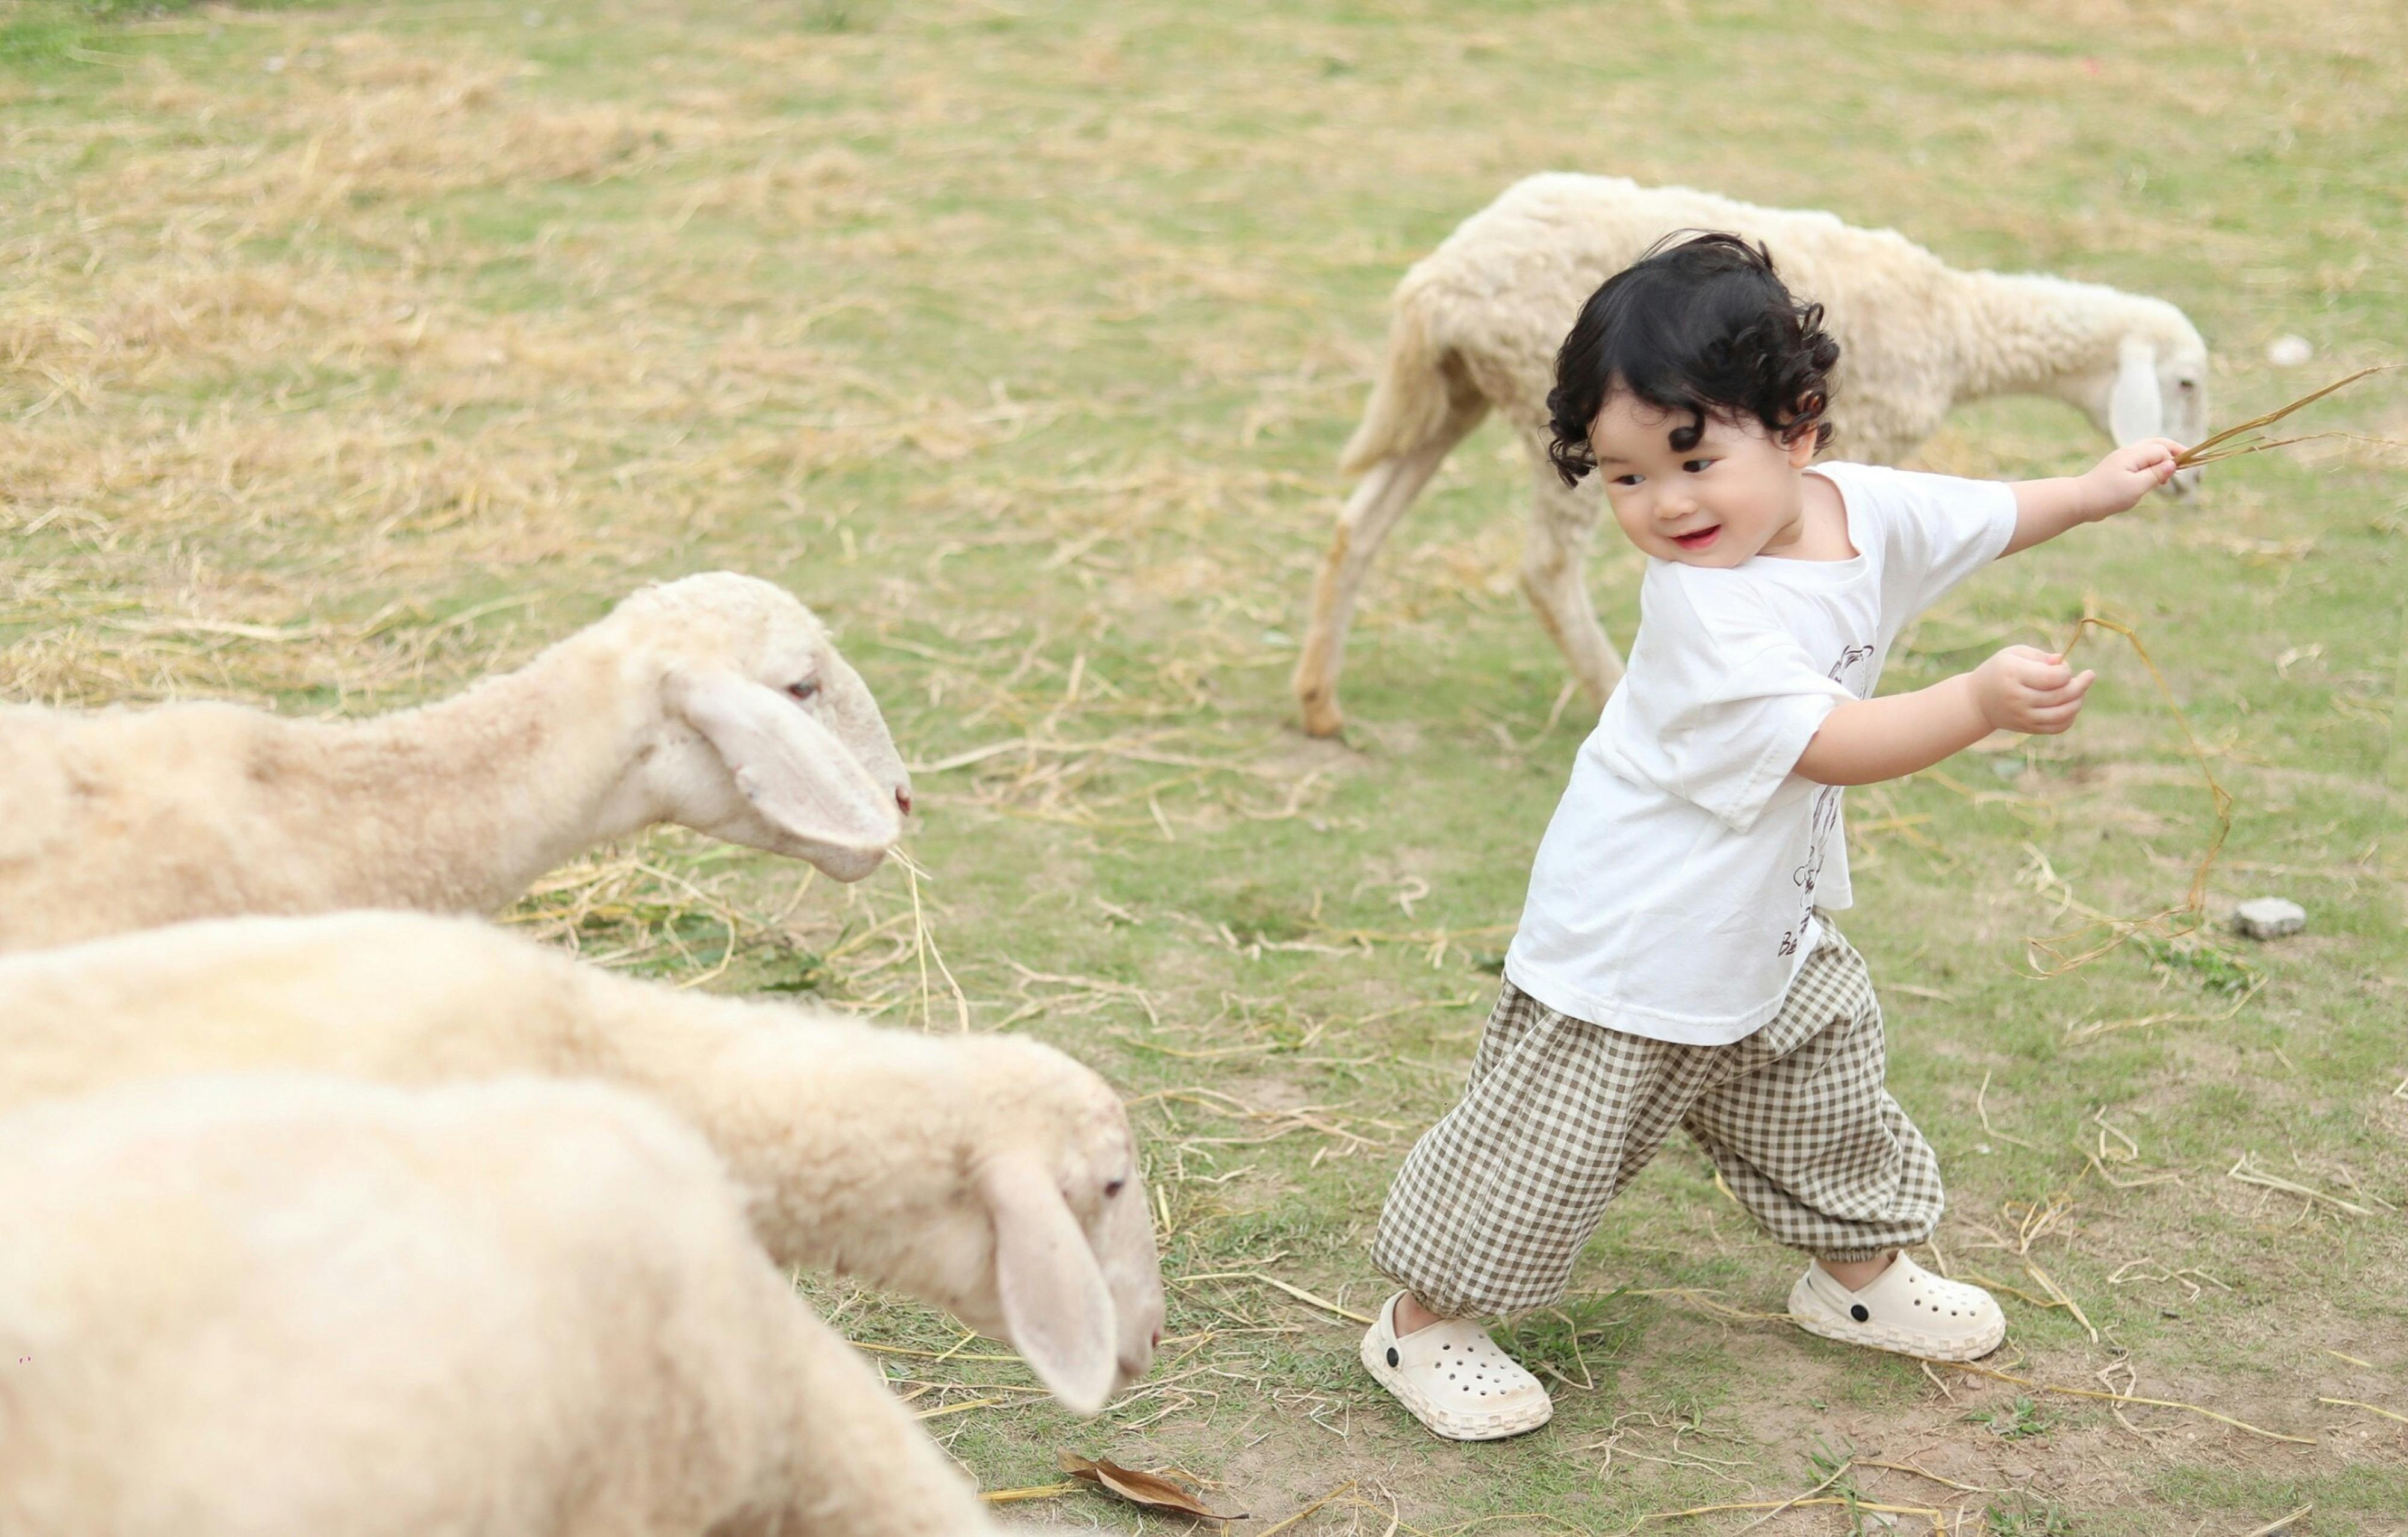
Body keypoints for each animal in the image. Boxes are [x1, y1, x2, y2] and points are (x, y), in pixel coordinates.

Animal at [1292, 172, 2212, 736]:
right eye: (2187, 381)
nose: (2190, 484)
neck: (1959, 328)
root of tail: (1438, 281)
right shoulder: (1866, 436)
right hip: (1553, 414)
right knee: (1544, 570)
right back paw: (1605, 690)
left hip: (1457, 392)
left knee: (1357, 526)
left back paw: (1320, 703)